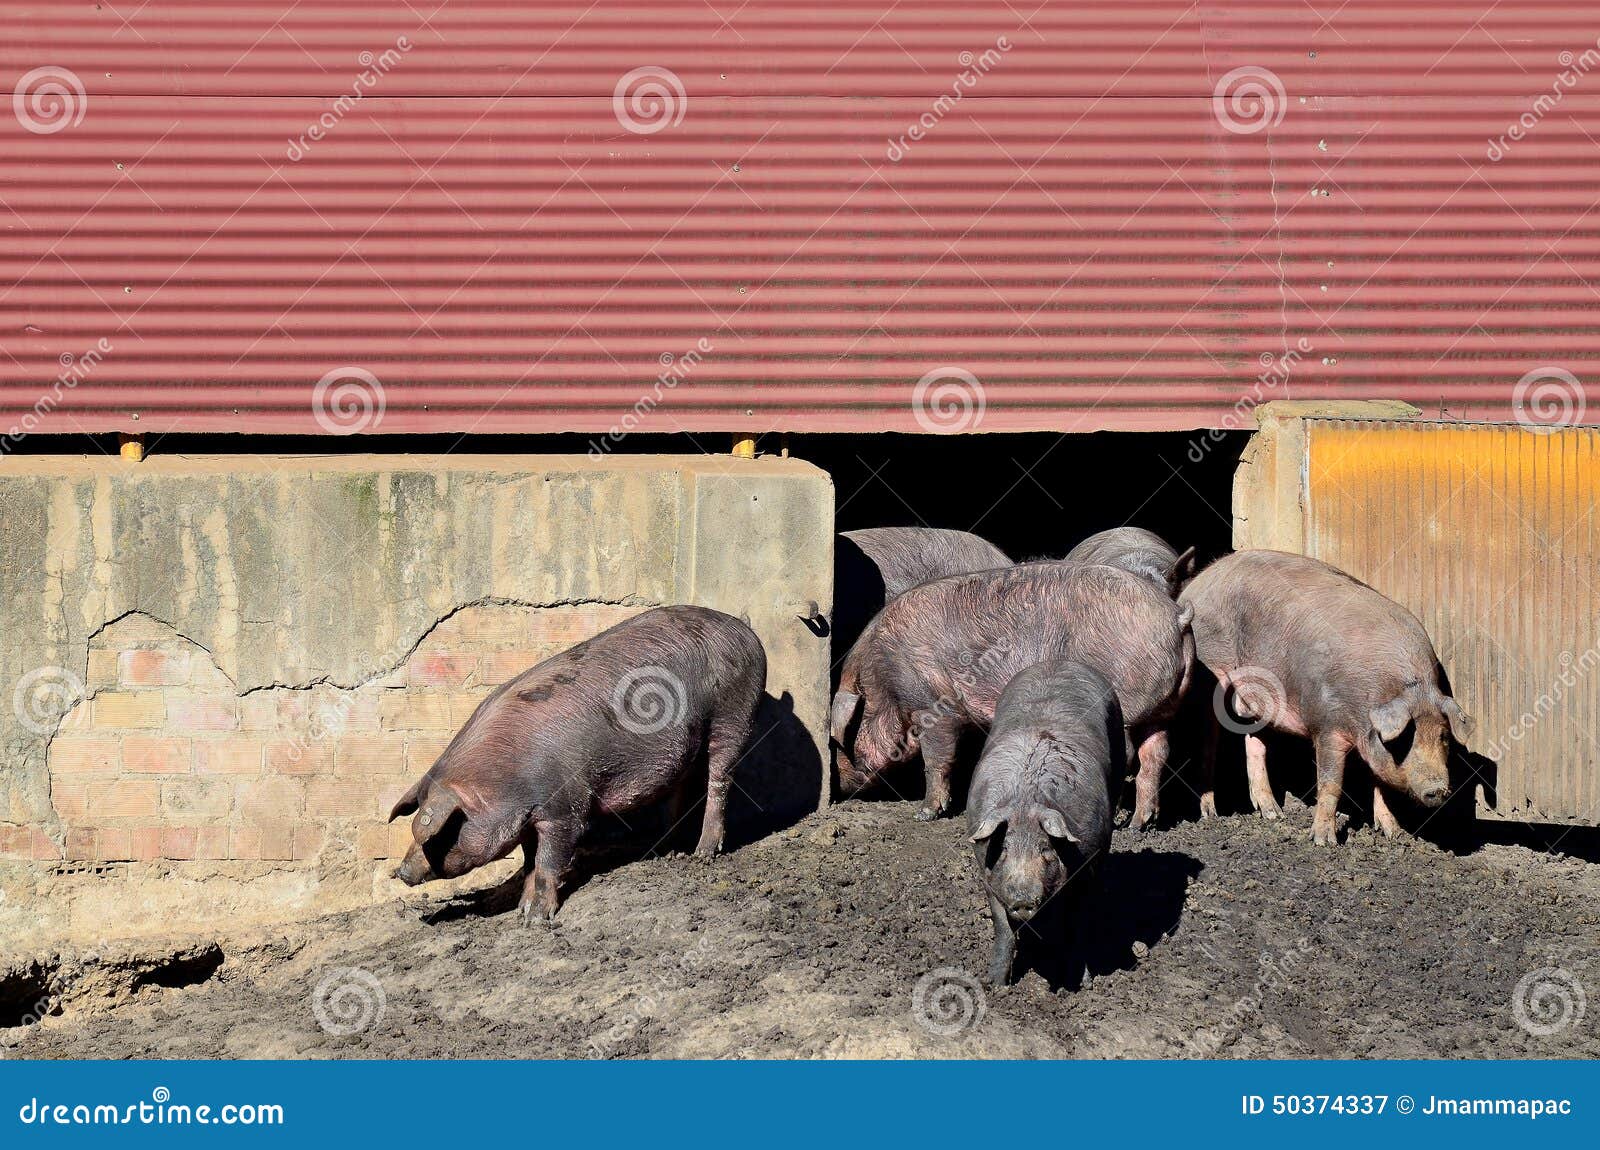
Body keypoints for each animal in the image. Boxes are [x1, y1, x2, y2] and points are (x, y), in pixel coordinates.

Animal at [388, 605, 766, 921]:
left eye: (440, 834)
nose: (402, 871)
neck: (503, 780)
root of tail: (743, 627)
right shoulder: (529, 819)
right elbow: (529, 861)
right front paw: (521, 909)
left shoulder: (565, 808)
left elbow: (548, 862)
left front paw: (536, 919)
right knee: (682, 787)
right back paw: (666, 851)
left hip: (734, 713)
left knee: (719, 779)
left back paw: (704, 853)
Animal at [831, 561, 1192, 828]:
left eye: (839, 741)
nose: (837, 789)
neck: (881, 683)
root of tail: (1176, 616)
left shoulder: (932, 705)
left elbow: (936, 759)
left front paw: (925, 814)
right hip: (1164, 709)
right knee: (1156, 754)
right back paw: (1141, 824)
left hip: (1123, 701)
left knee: (1128, 754)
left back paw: (1117, 820)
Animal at [967, 659, 1124, 985]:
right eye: (1003, 850)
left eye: (1046, 850)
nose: (1023, 898)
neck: (1026, 801)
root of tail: (1060, 661)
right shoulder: (986, 871)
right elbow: (1002, 927)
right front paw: (995, 984)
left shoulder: (1088, 862)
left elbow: (1078, 923)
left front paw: (1082, 983)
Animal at [1180, 549, 1473, 846]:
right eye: (1406, 738)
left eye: (1443, 737)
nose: (1438, 789)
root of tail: (1197, 584)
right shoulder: (1327, 725)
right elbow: (1331, 783)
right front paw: (1324, 841)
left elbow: (1379, 784)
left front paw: (1394, 834)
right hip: (1212, 669)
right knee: (1207, 741)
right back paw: (1210, 813)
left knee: (1255, 743)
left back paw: (1273, 814)